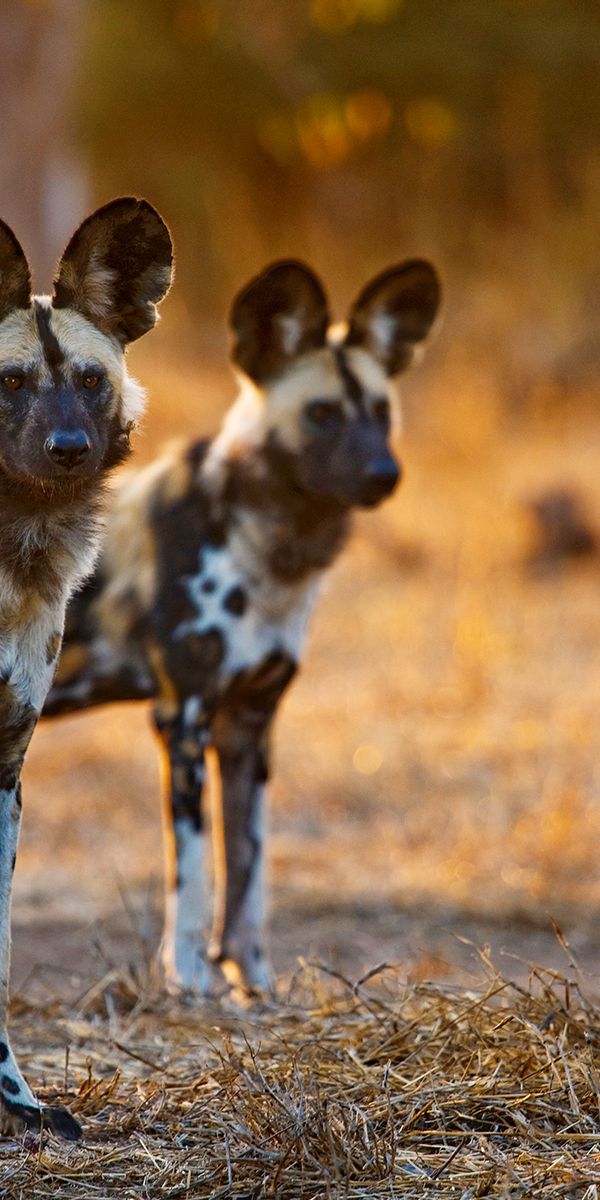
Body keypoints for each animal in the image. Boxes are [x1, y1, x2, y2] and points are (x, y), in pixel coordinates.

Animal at [44, 258, 440, 1001]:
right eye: (321, 414)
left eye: (381, 413)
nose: (386, 475)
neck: (268, 550)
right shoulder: (183, 720)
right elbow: (195, 875)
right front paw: (192, 980)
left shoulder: (248, 727)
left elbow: (249, 875)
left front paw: (255, 984)